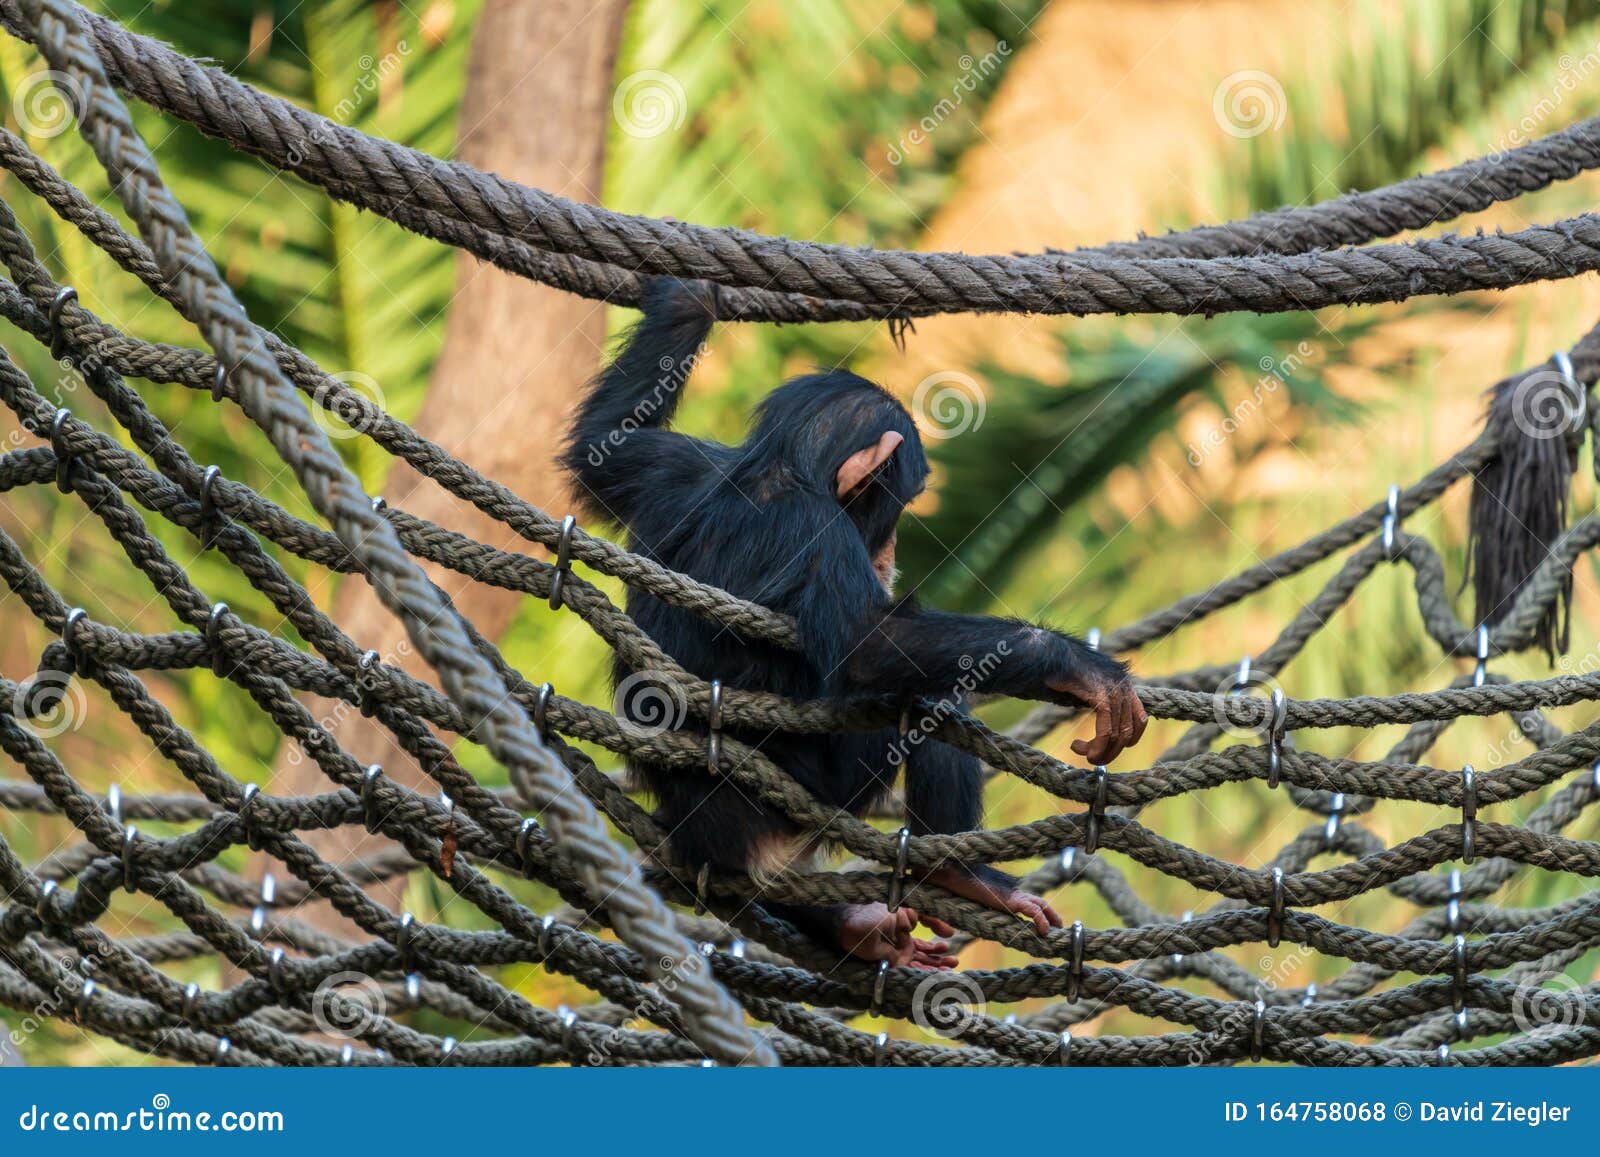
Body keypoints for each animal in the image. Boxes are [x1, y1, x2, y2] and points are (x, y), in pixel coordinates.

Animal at [560, 278, 1147, 968]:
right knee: (930, 698)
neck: (779, 469)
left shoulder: (674, 464)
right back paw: (958, 873)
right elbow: (872, 645)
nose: (890, 551)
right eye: (899, 501)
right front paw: (1077, 666)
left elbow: (605, 445)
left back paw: (854, 927)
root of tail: (709, 840)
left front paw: (691, 297)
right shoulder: (819, 531)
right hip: (806, 802)